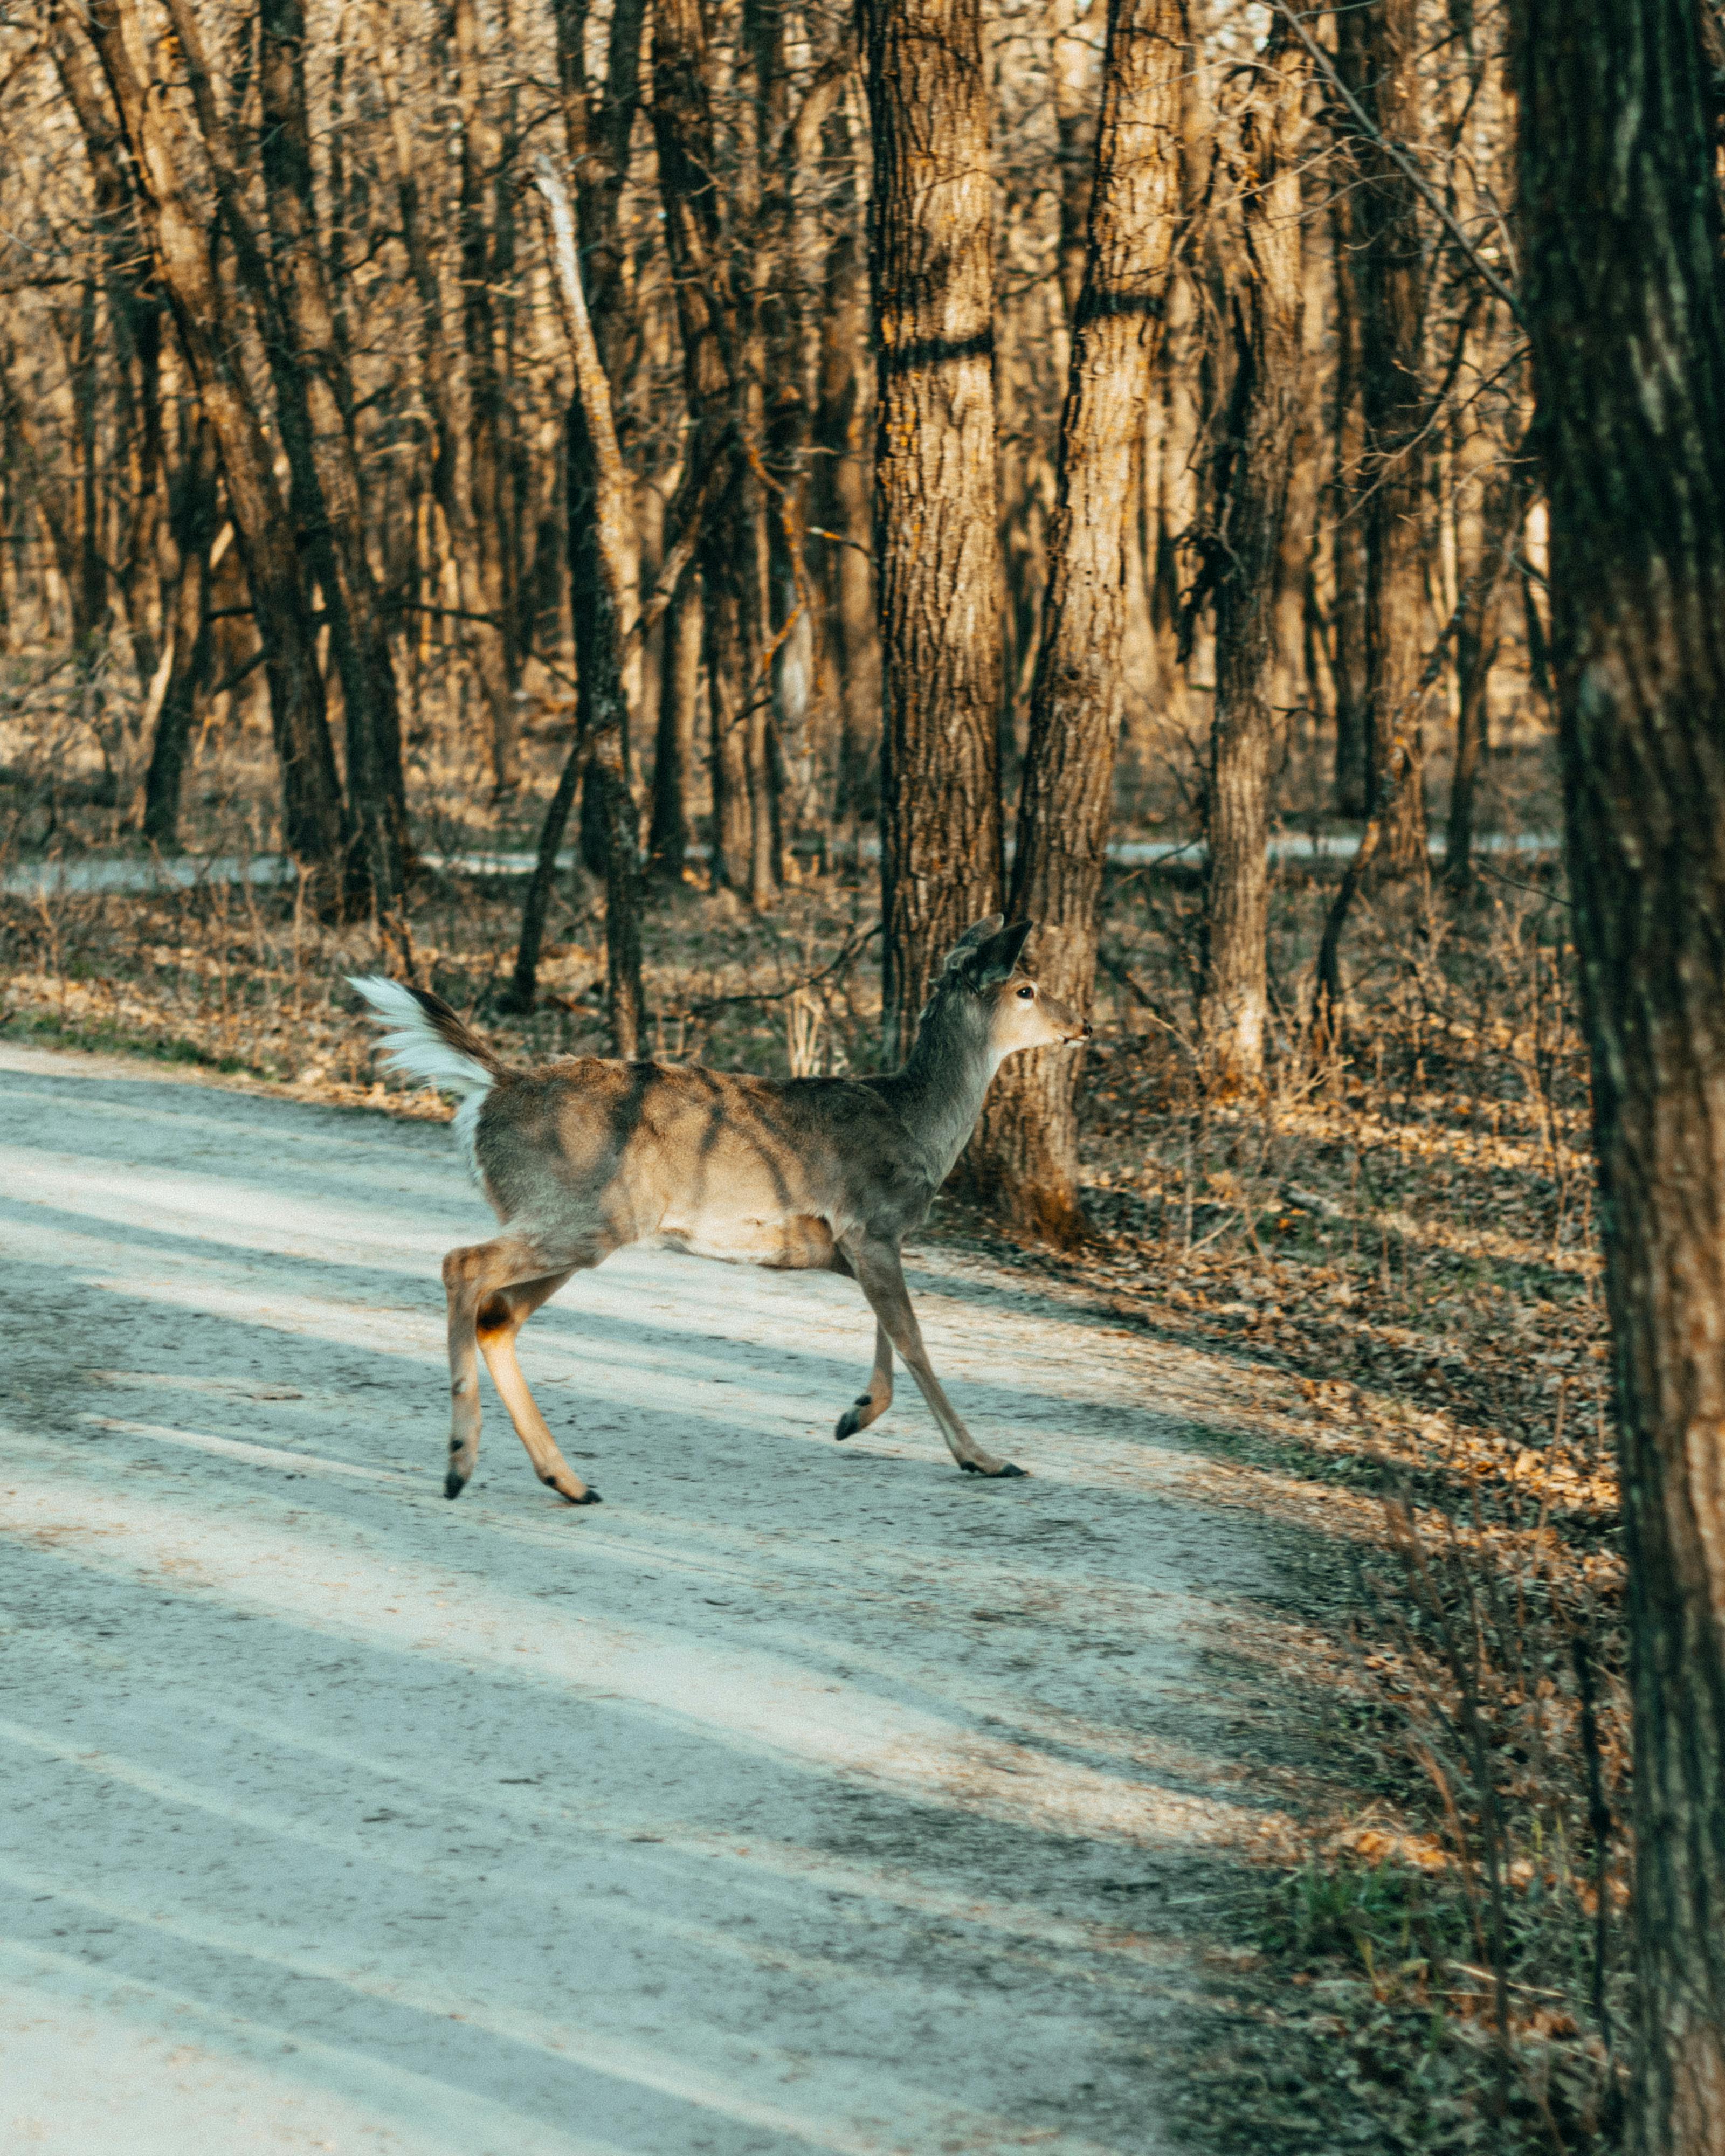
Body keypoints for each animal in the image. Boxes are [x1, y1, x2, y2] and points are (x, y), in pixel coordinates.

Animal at [349, 916, 1089, 1506]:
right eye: (1024, 988)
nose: (1082, 1023)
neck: (919, 1126)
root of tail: (493, 1087)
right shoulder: (871, 1222)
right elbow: (911, 1337)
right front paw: (984, 1458)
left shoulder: (849, 1243)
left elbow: (886, 1327)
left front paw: (856, 1413)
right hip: (577, 1211)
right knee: (462, 1264)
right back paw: (460, 1463)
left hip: (575, 1221)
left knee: (497, 1316)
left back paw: (568, 1480)